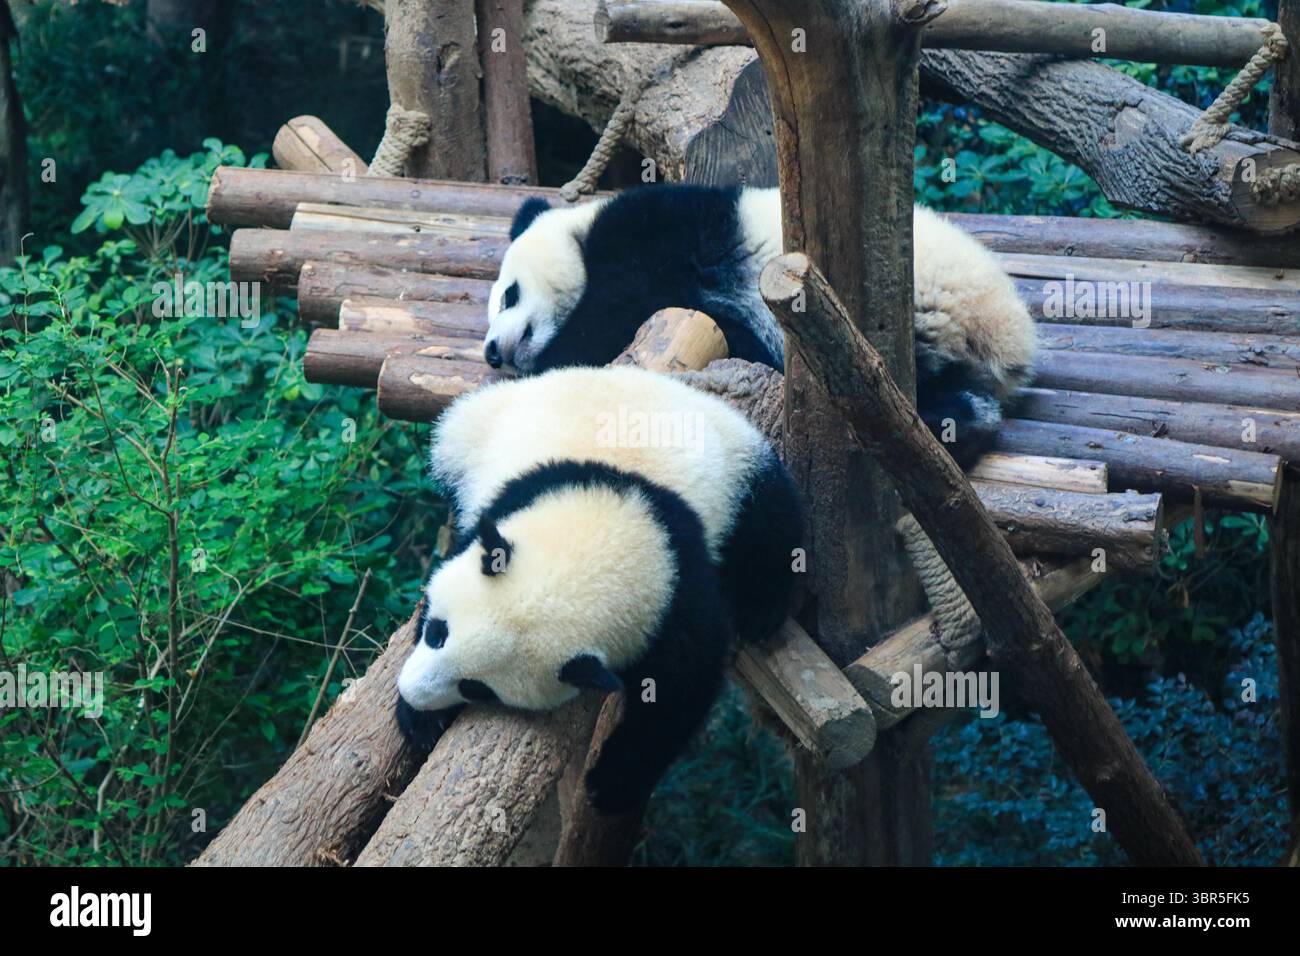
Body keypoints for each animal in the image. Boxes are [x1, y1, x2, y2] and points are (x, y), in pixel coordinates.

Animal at [395, 365, 802, 814]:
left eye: (476, 688)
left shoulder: (680, 594)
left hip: (736, 460)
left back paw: (761, 612)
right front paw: (421, 719)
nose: (411, 690)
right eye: (438, 633)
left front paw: (612, 784)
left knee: (770, 519)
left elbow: (679, 690)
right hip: (471, 431)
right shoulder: (511, 501)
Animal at [484, 185, 1037, 466]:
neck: (581, 230)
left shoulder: (654, 233)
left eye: (510, 295)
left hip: (914, 308)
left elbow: (617, 310)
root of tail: (1007, 334)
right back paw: (963, 421)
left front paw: (555, 359)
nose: (491, 350)